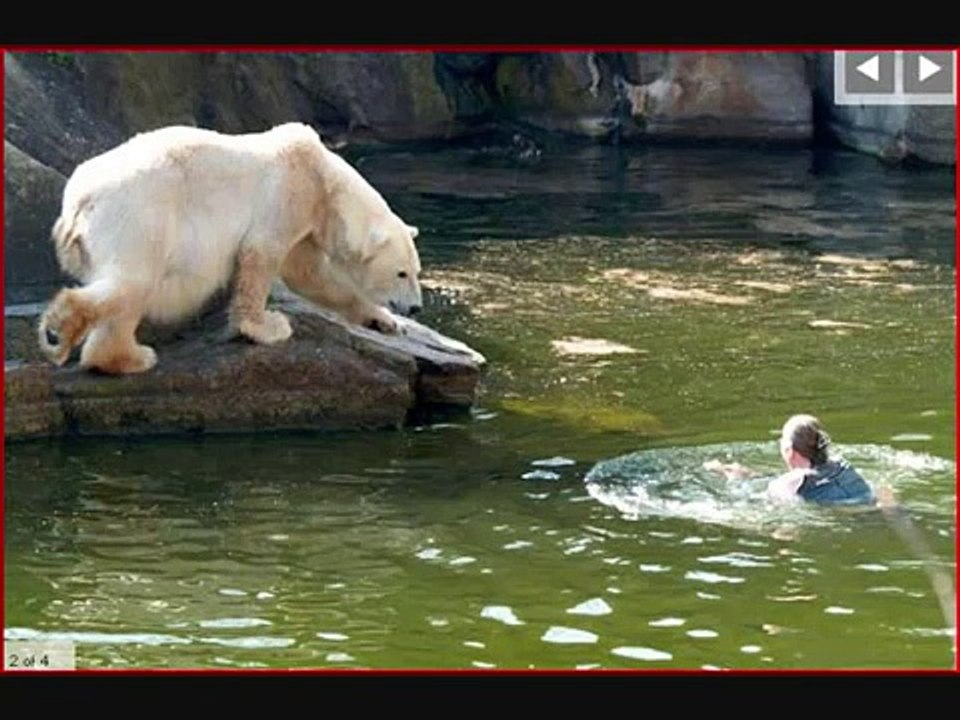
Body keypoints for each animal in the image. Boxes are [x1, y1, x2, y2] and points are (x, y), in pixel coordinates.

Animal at [37, 122, 423, 375]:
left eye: (416, 272)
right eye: (401, 273)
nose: (416, 307)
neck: (325, 180)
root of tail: (78, 201)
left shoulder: (307, 220)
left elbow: (312, 276)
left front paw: (387, 322)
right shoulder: (288, 194)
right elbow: (261, 256)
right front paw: (266, 326)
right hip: (139, 214)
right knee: (135, 282)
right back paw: (112, 348)